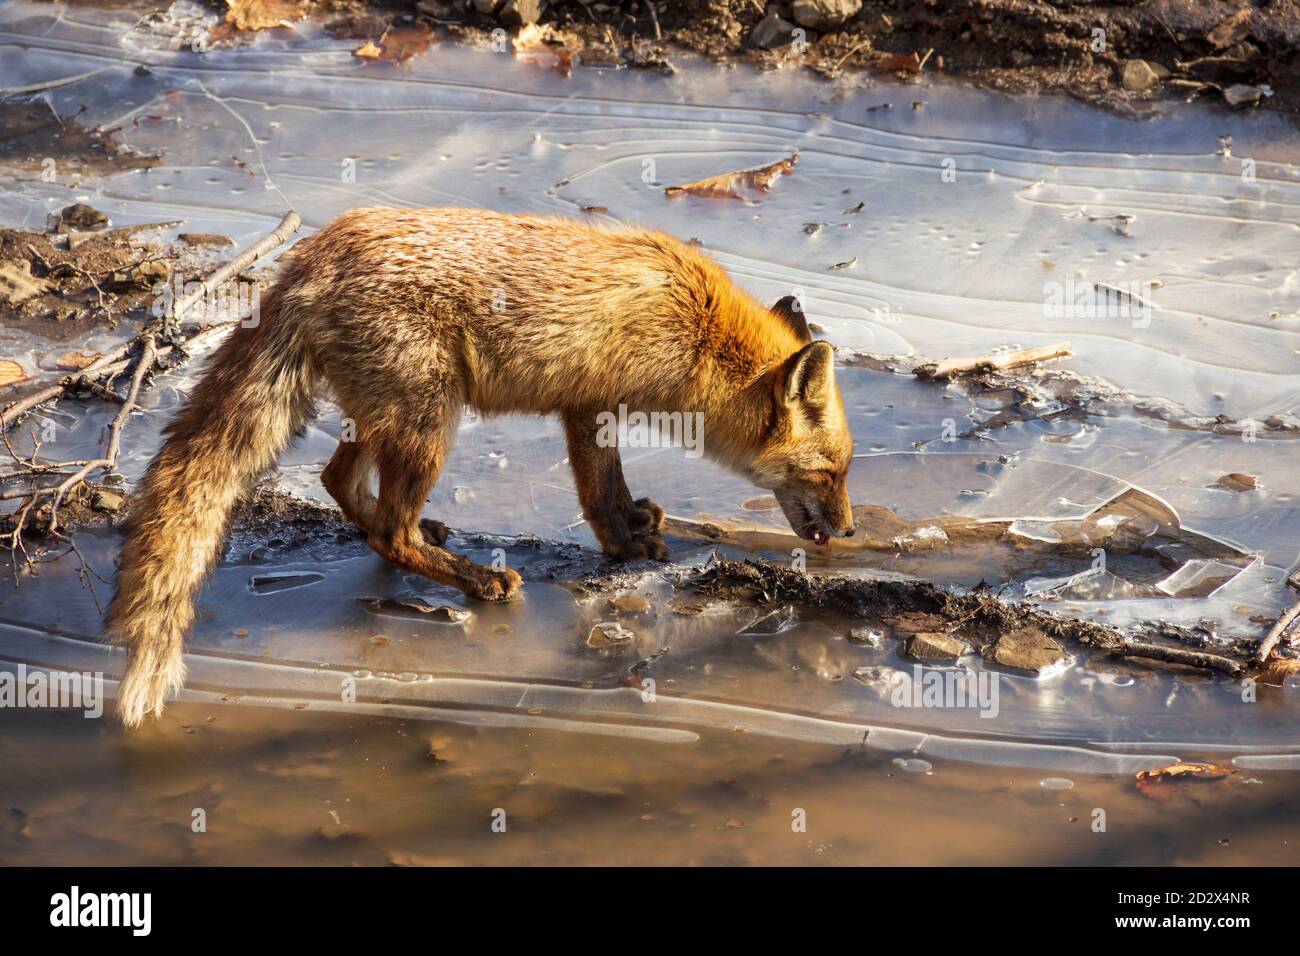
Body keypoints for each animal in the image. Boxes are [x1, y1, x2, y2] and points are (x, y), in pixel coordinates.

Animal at [106, 207, 856, 726]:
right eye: (831, 473)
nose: (847, 532)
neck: (699, 332)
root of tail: (312, 255)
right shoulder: (587, 404)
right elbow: (598, 493)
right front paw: (623, 545)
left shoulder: (596, 403)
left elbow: (613, 486)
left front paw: (637, 523)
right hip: (430, 421)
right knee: (390, 534)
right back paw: (474, 579)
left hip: (384, 417)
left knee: (340, 482)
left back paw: (420, 536)